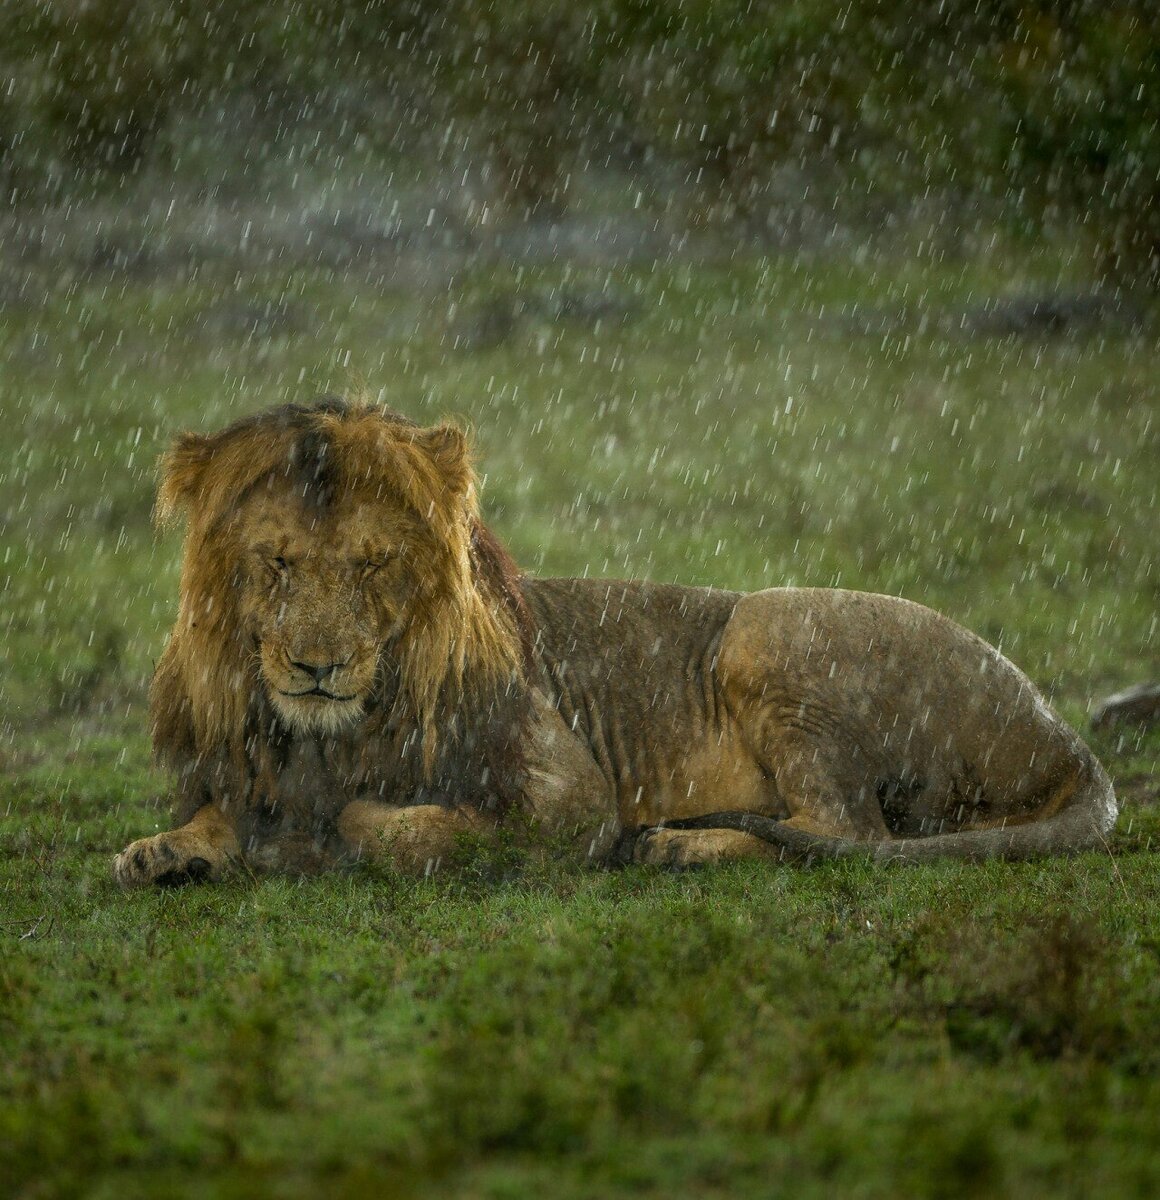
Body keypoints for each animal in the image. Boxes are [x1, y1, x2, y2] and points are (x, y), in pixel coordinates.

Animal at [110, 398, 1118, 888]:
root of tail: (1065, 736)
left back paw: (678, 850)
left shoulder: (576, 793)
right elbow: (220, 814)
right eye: (279, 562)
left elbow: (404, 827)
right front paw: (167, 850)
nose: (316, 667)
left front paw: (327, 834)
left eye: (370, 567)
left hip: (763, 626)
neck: (327, 733)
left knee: (845, 829)